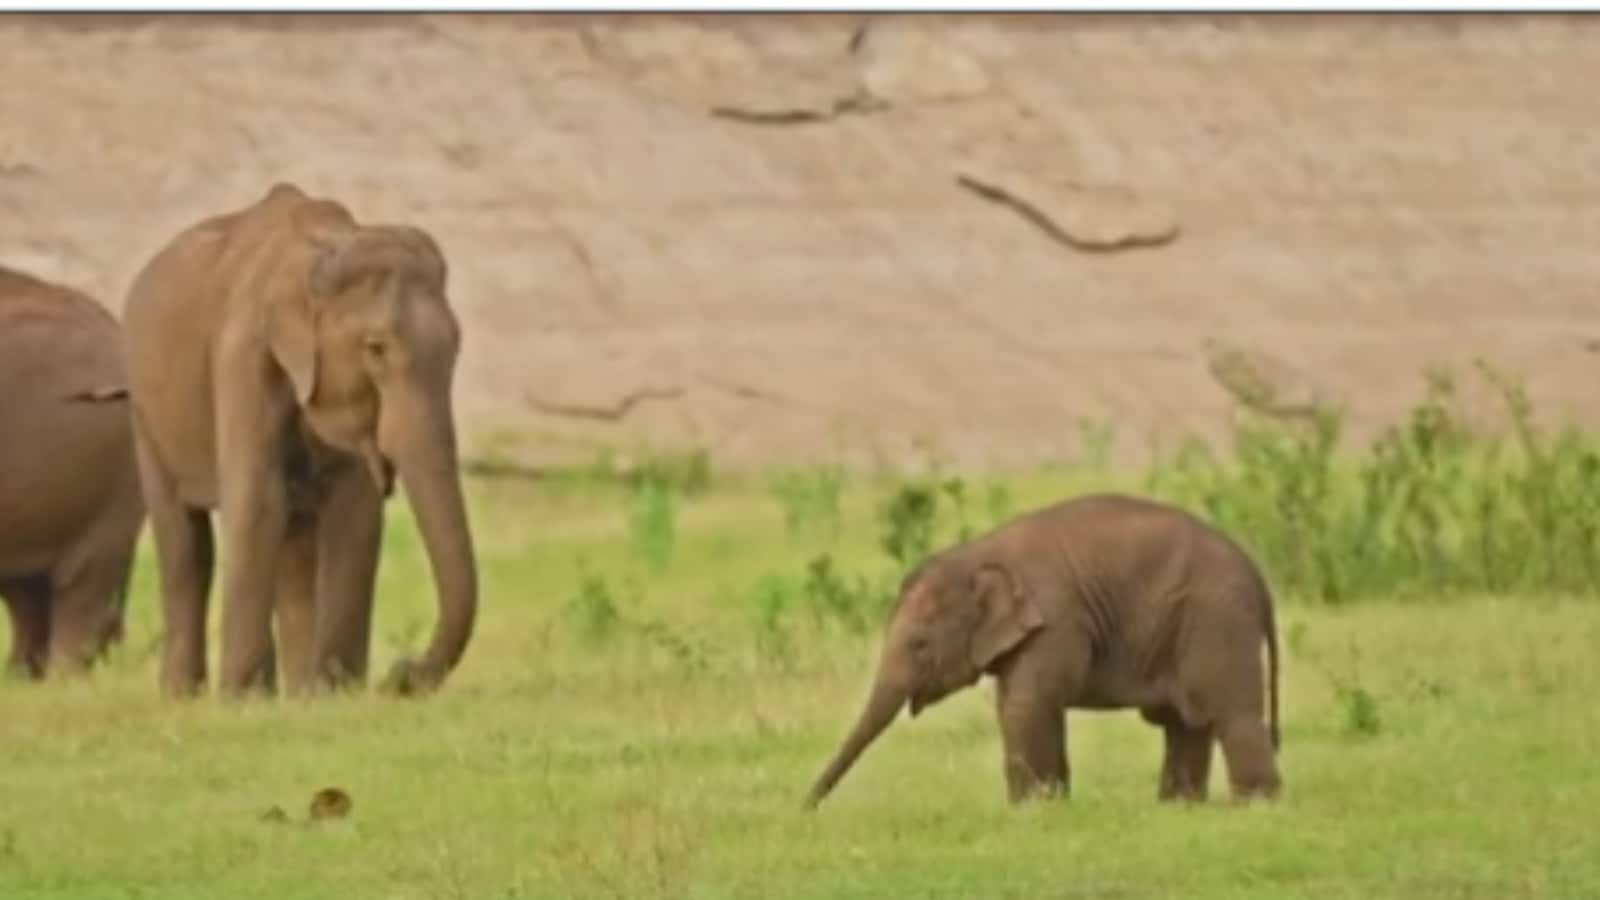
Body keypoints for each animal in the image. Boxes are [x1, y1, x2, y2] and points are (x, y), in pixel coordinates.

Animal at [122, 182, 478, 699]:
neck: (324, 250)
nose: (401, 675)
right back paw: (182, 696)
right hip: (146, 413)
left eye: (456, 346)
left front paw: (335, 694)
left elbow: (355, 512)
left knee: (295, 544)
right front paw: (245, 699)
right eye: (375, 348)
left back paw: (297, 694)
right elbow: (258, 503)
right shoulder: (242, 356)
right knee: (185, 544)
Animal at [804, 492, 1282, 809]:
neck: (980, 554)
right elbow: (1016, 706)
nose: (803, 810)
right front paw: (1050, 807)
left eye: (919, 645)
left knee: (1230, 715)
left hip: (1217, 619)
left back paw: (1256, 808)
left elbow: (1026, 705)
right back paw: (1179, 808)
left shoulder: (1055, 621)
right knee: (1185, 723)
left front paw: (1032, 811)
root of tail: (1258, 574)